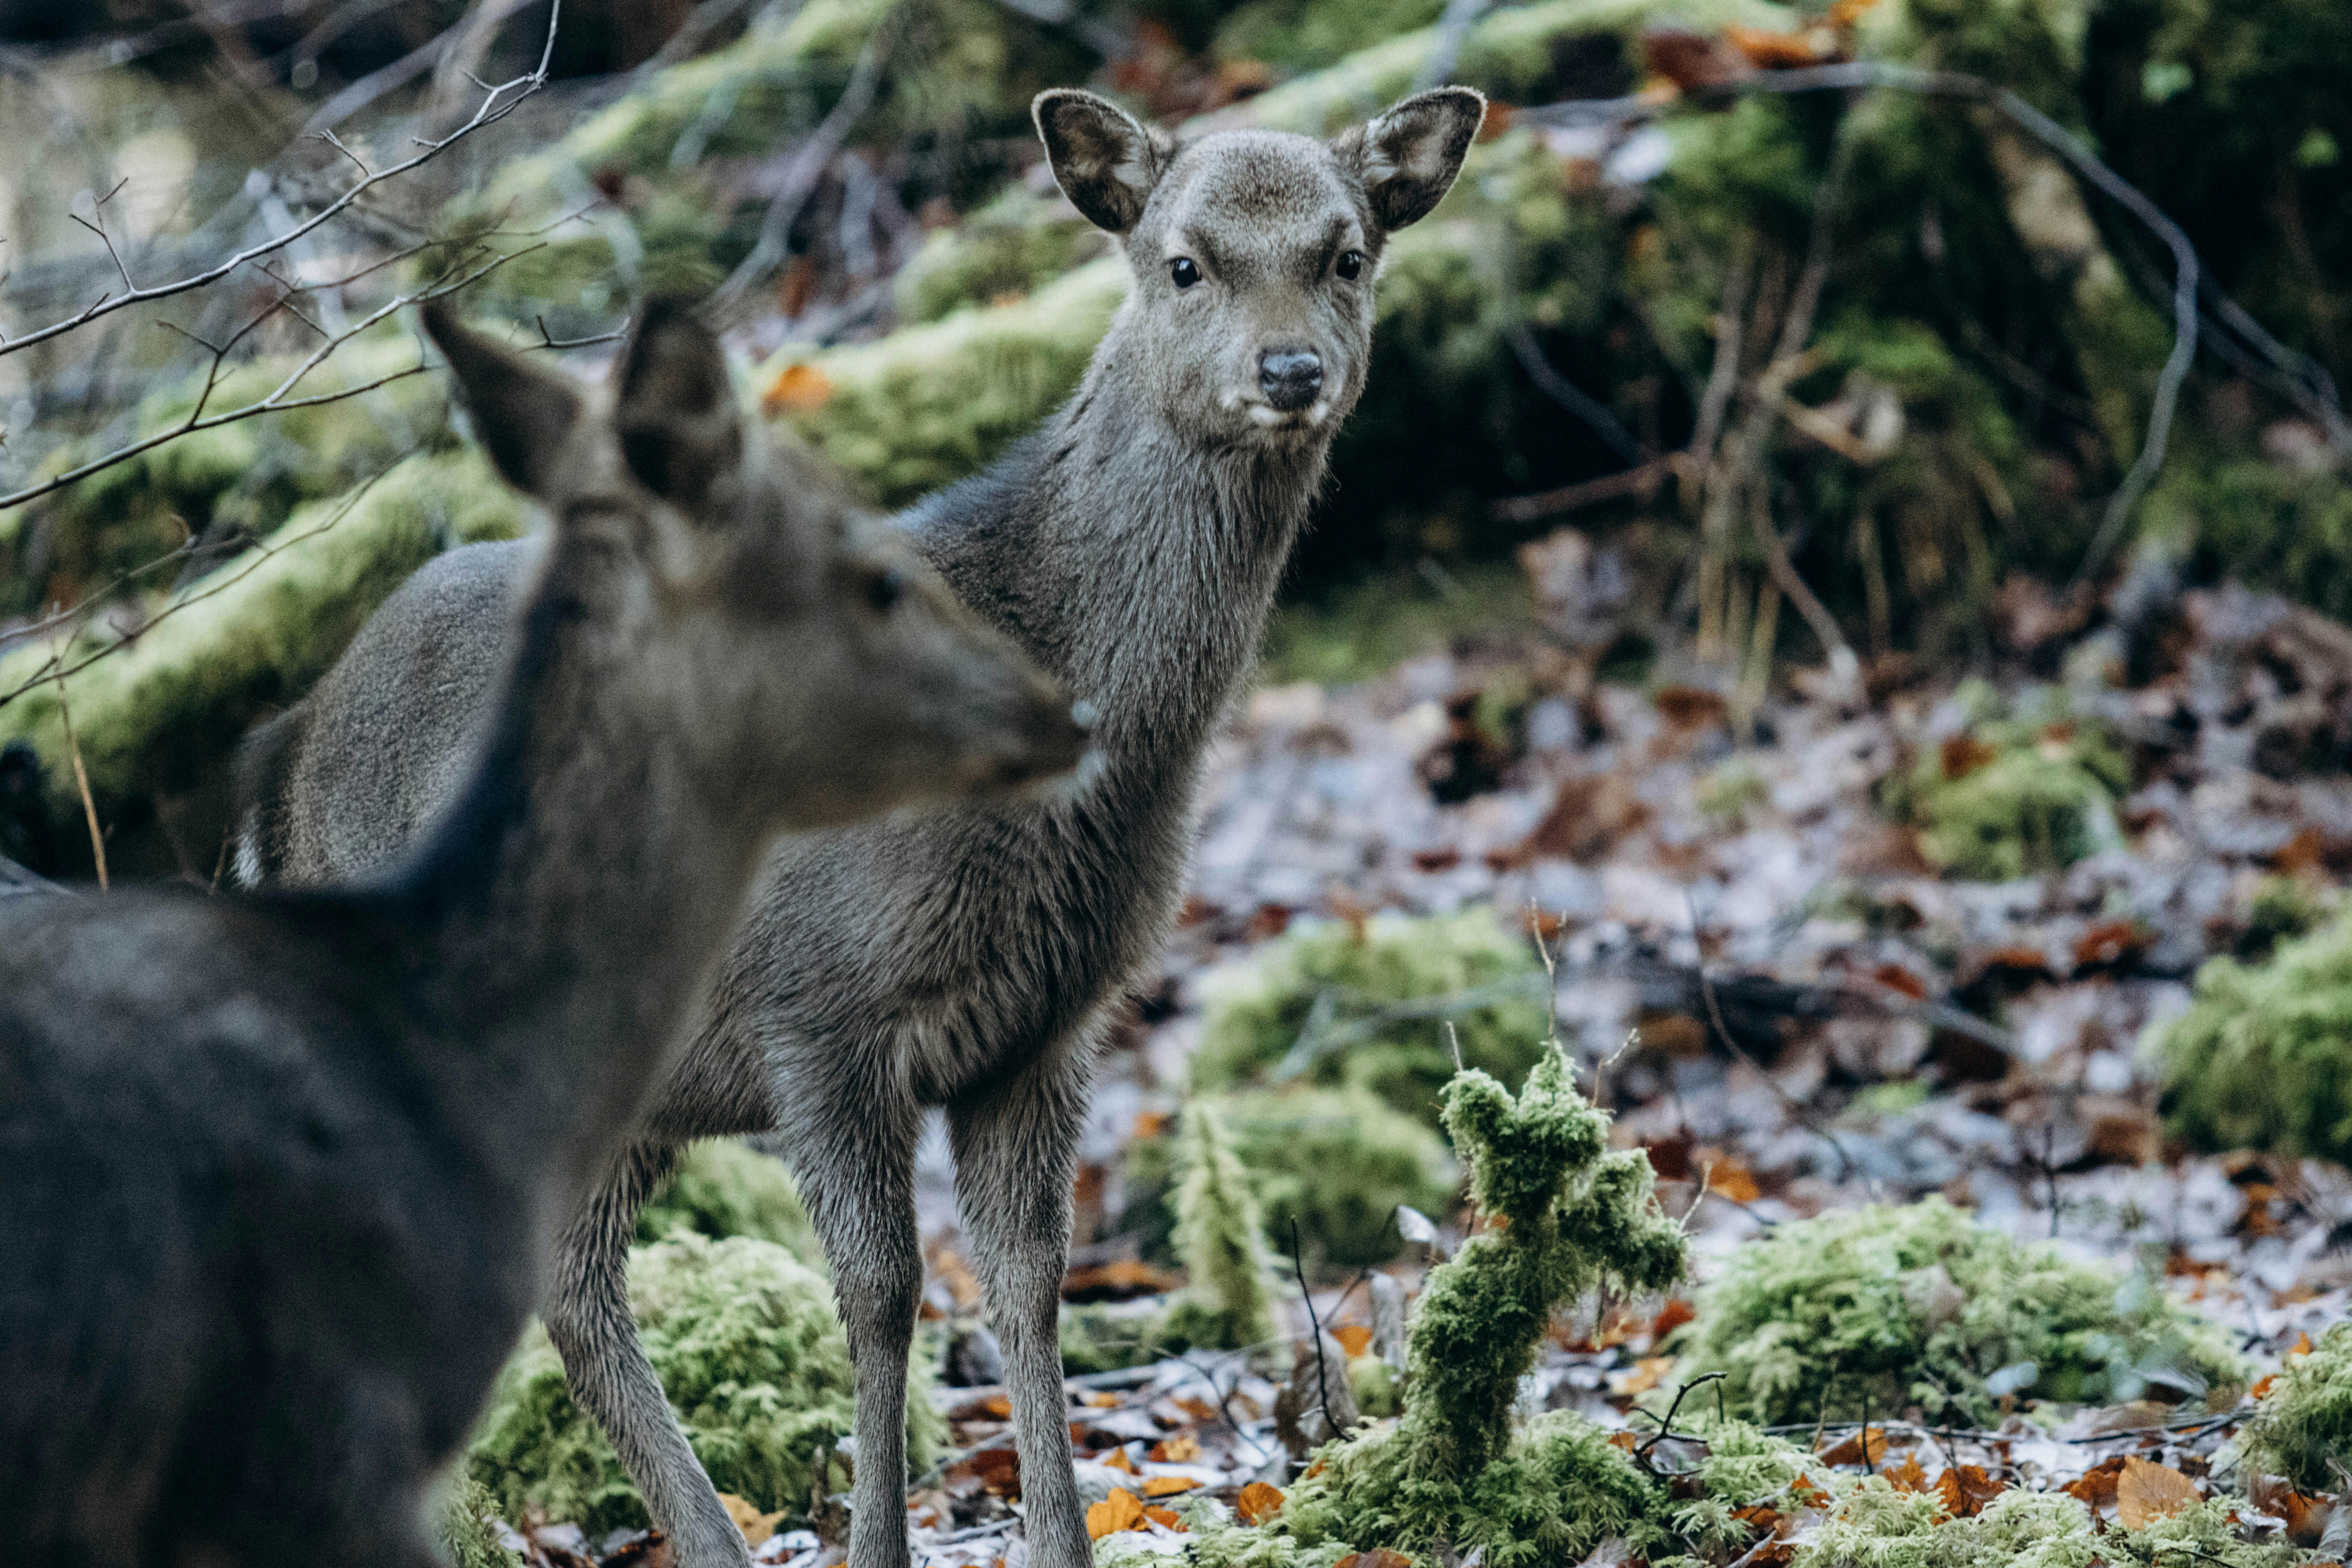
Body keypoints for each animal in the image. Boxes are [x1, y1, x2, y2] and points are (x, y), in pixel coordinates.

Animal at [232, 86, 1486, 1567]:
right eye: (1185, 261)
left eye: (1347, 252)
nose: (1292, 370)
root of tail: (278, 756)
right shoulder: (816, 1009)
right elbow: (884, 1292)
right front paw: (879, 1543)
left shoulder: (1046, 1025)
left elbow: (1029, 1280)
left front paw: (1063, 1539)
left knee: (572, 1289)